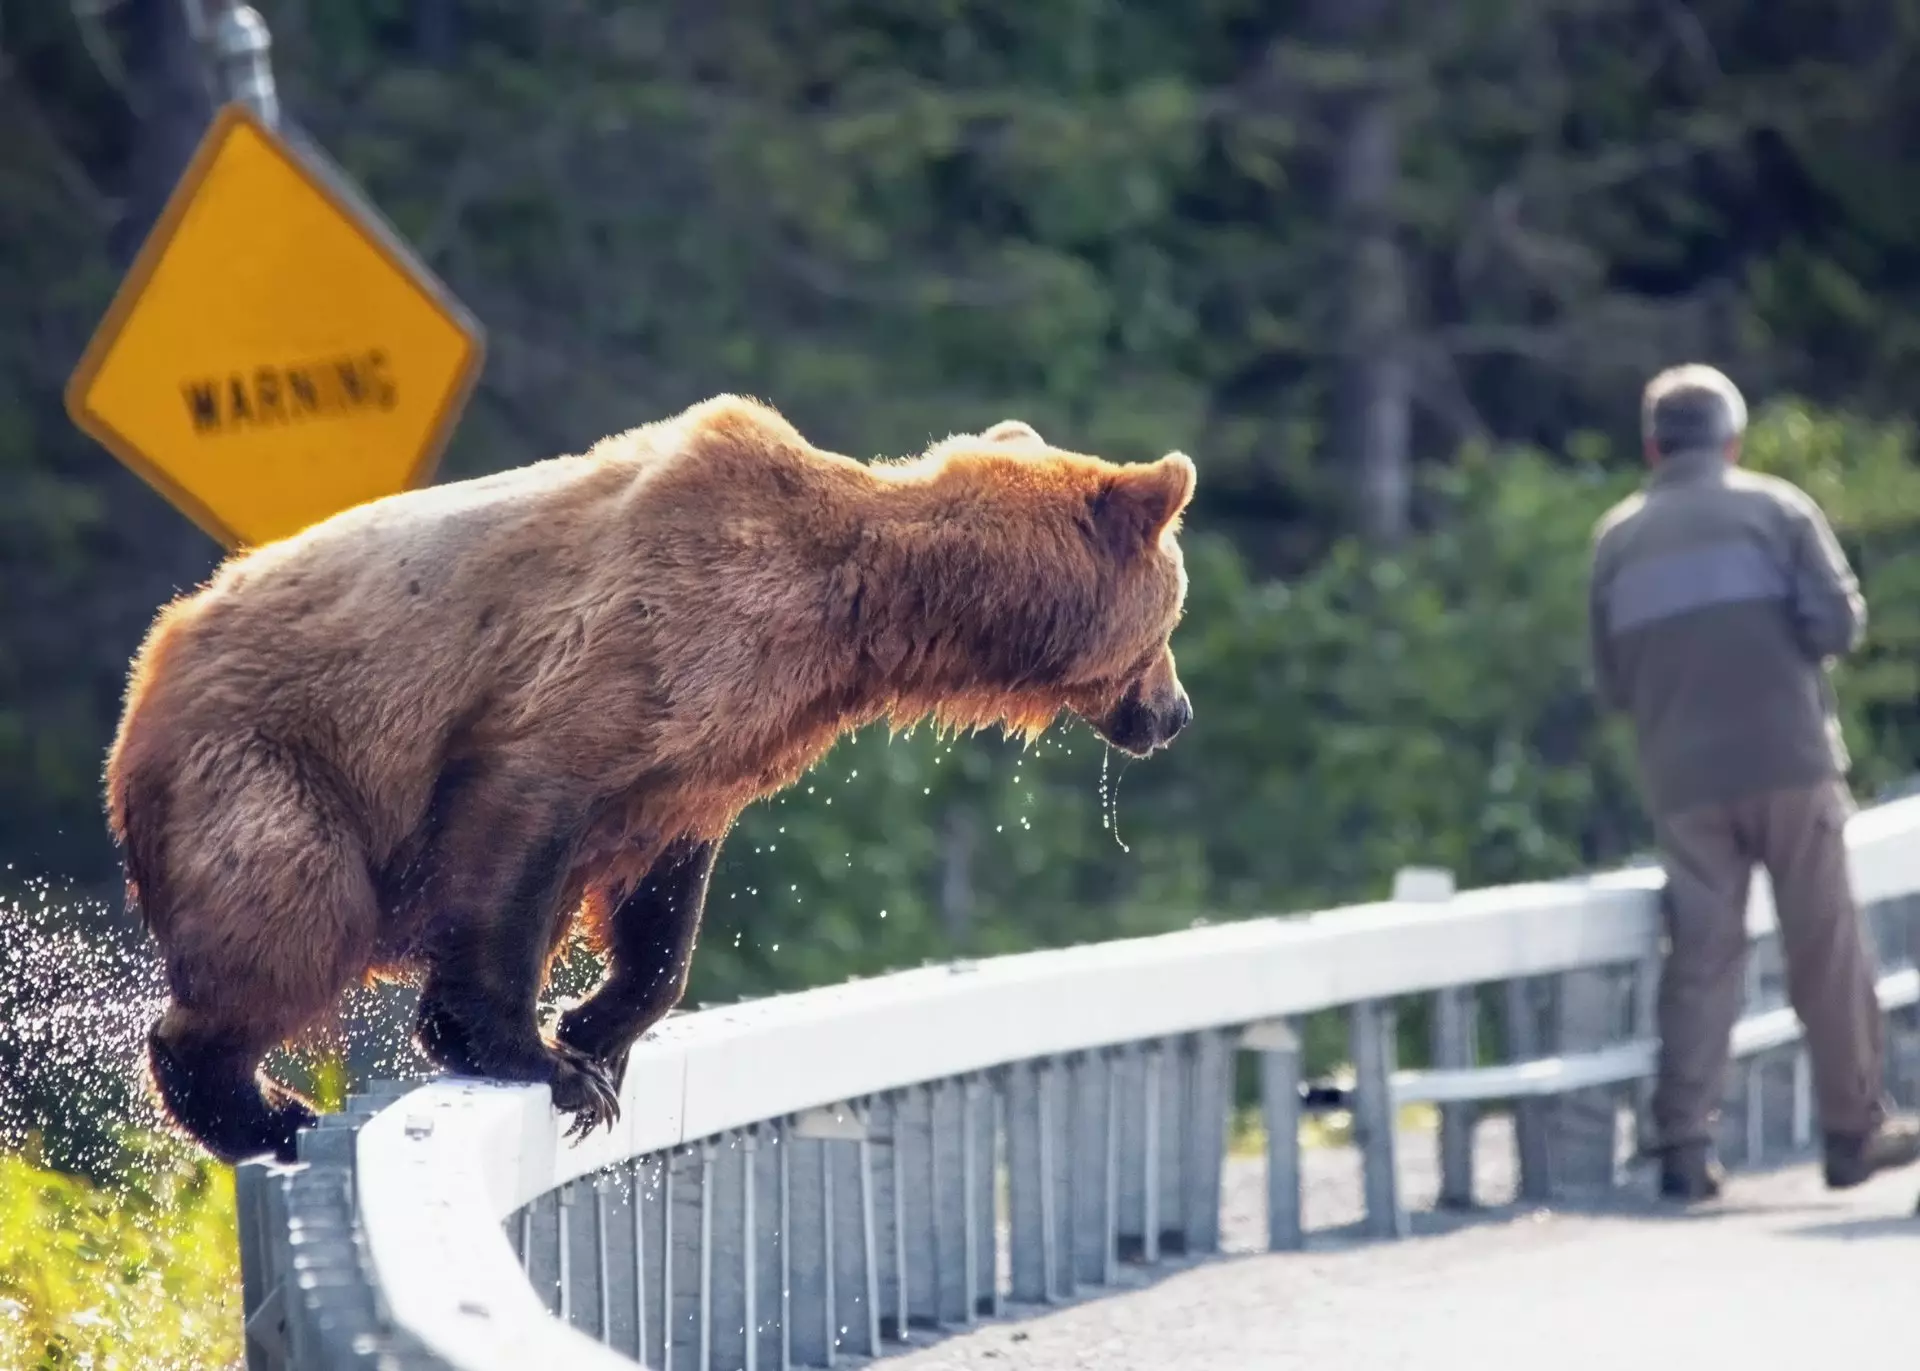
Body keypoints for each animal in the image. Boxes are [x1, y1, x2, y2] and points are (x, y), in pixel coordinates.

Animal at [105, 389, 1190, 1159]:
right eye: (1173, 615)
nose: (1175, 714)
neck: (851, 612)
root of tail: (148, 668)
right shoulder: (612, 660)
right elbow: (516, 827)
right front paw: (540, 1057)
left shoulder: (710, 751)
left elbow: (663, 901)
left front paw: (598, 1032)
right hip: (271, 763)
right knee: (291, 914)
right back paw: (266, 1109)